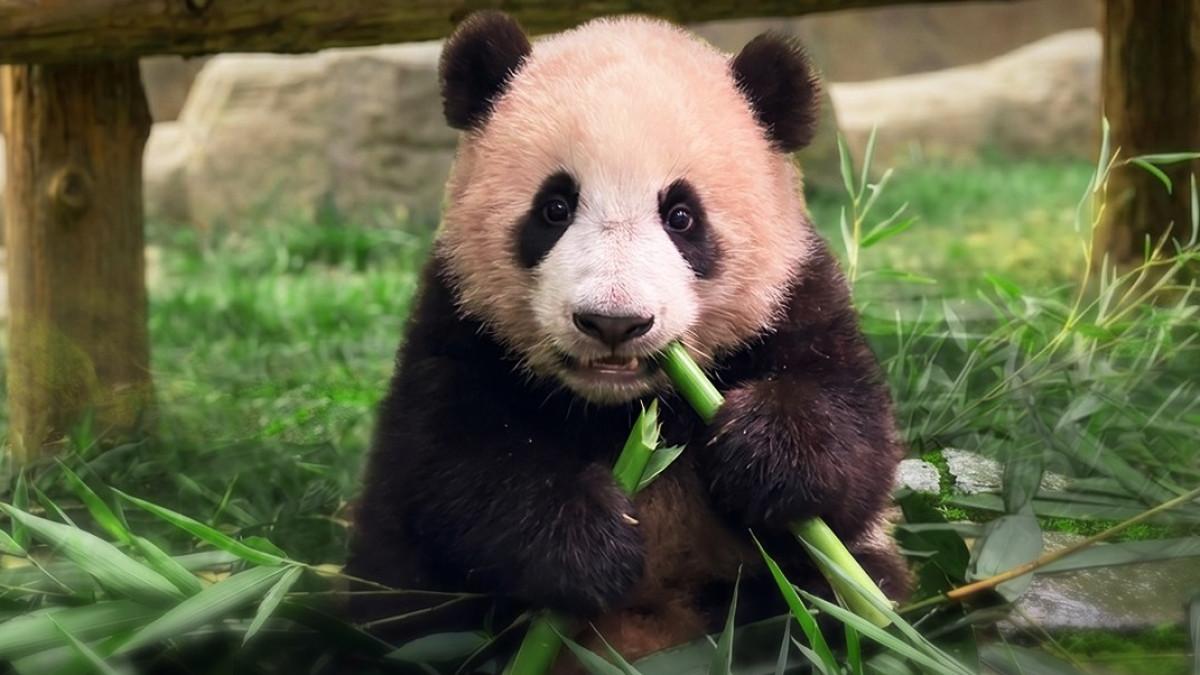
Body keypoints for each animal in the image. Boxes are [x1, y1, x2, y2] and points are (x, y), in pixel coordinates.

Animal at [346, 10, 909, 669]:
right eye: (555, 207)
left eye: (682, 216)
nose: (613, 322)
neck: (620, 405)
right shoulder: (459, 320)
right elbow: (450, 459)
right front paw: (591, 544)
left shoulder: (794, 293)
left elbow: (854, 436)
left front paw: (762, 451)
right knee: (412, 623)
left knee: (839, 600)